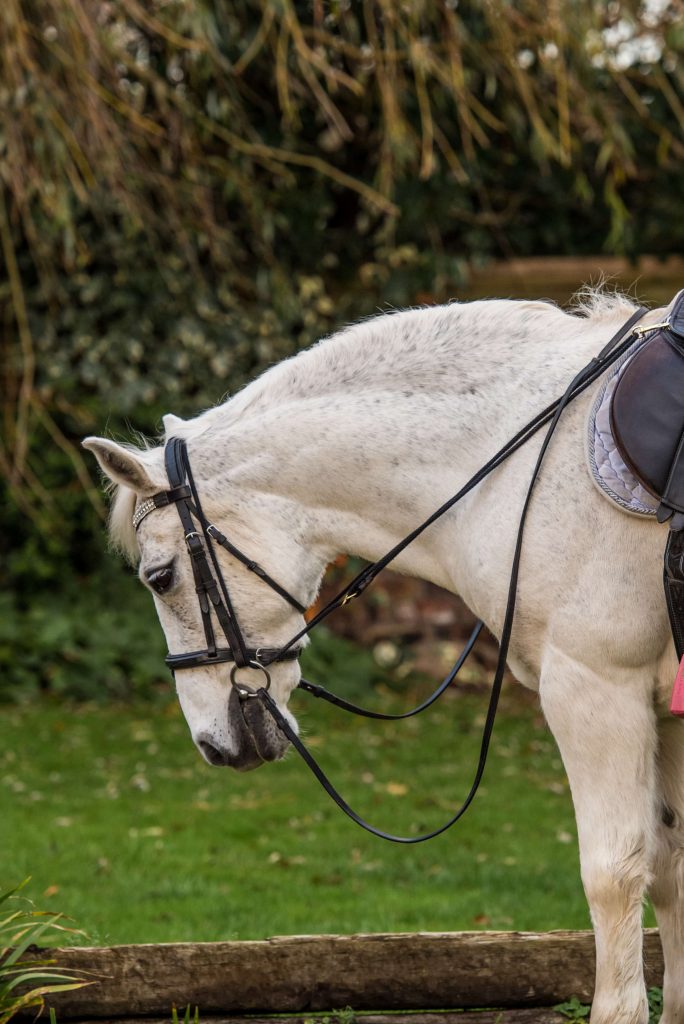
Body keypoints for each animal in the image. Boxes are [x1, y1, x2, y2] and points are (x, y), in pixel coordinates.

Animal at [84, 291, 684, 1024]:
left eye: (160, 577)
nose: (213, 745)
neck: (525, 460)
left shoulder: (595, 690)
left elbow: (614, 873)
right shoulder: (665, 711)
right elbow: (672, 870)